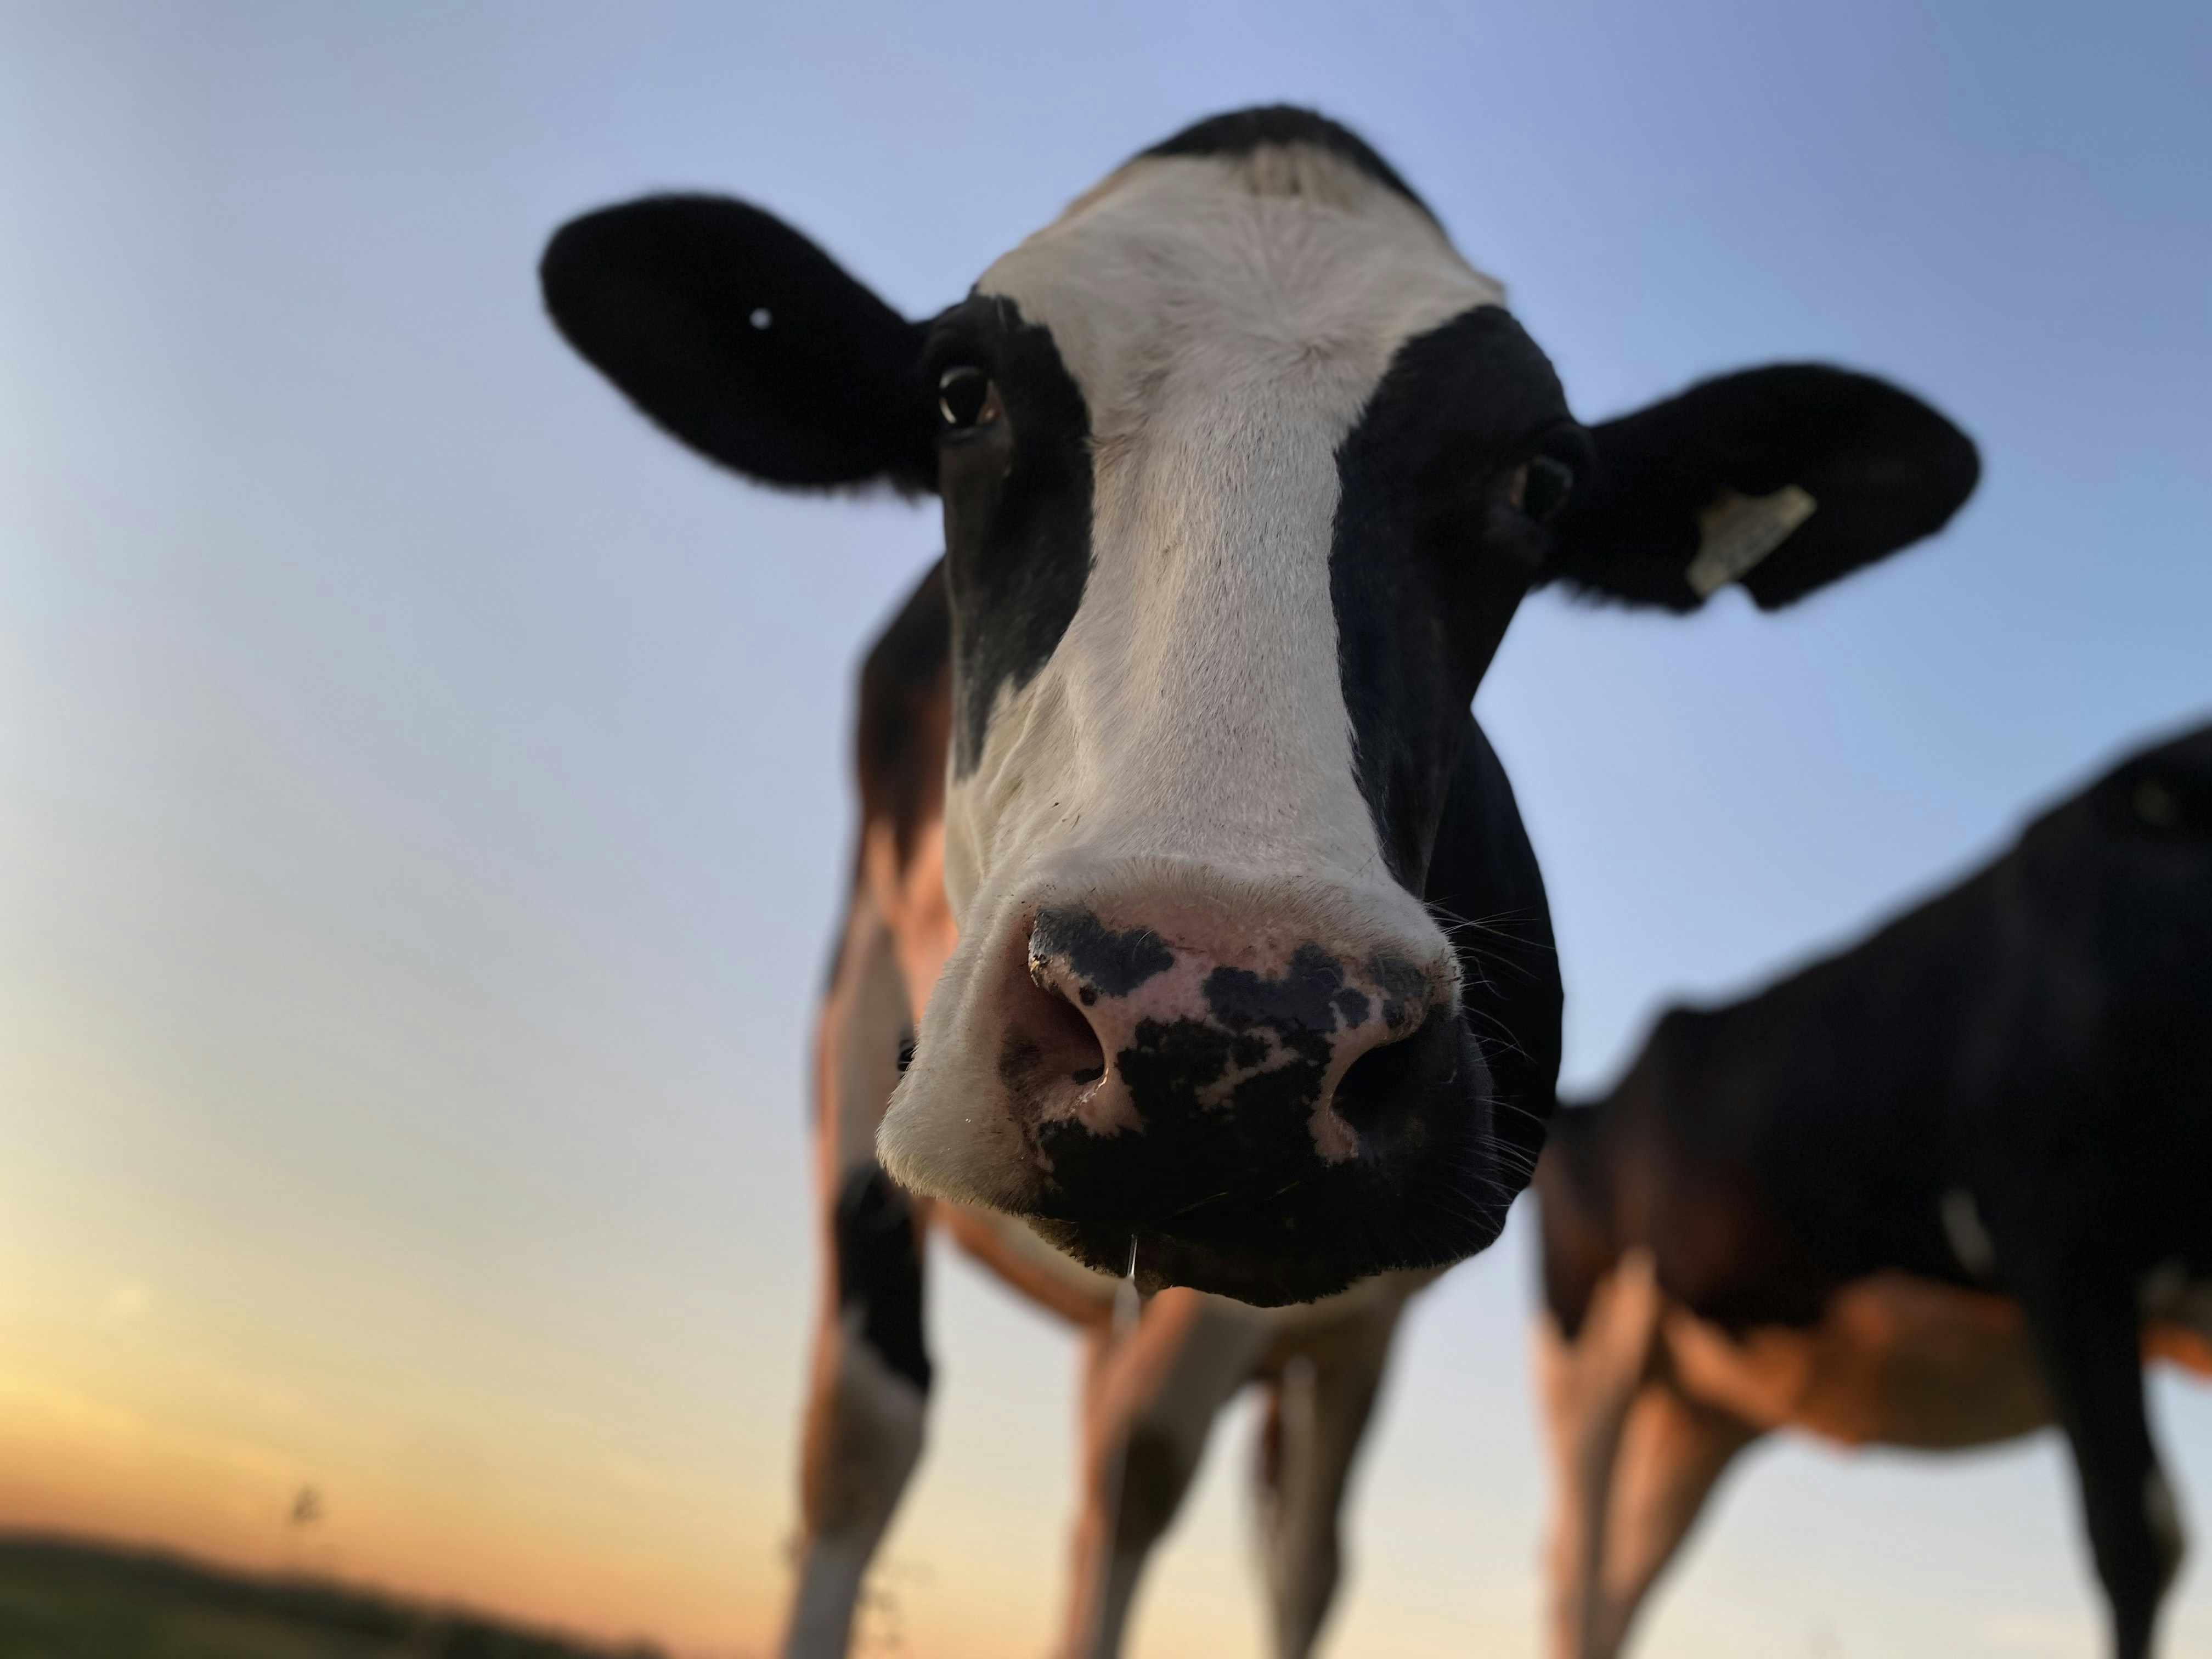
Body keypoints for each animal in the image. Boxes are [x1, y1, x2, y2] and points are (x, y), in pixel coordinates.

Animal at [539, 106, 1978, 1655]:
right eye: (961, 395)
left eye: (1543, 478)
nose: (1222, 1024)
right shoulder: (861, 1004)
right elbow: (864, 1441)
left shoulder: (1277, 1228)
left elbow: (1142, 1471)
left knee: (1294, 1546)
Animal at [1536, 720, 2212, 1659]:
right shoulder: (2062, 1239)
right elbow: (2135, 1538)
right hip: (1590, 1348)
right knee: (1581, 1577)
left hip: (1700, 1409)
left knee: (1621, 1590)